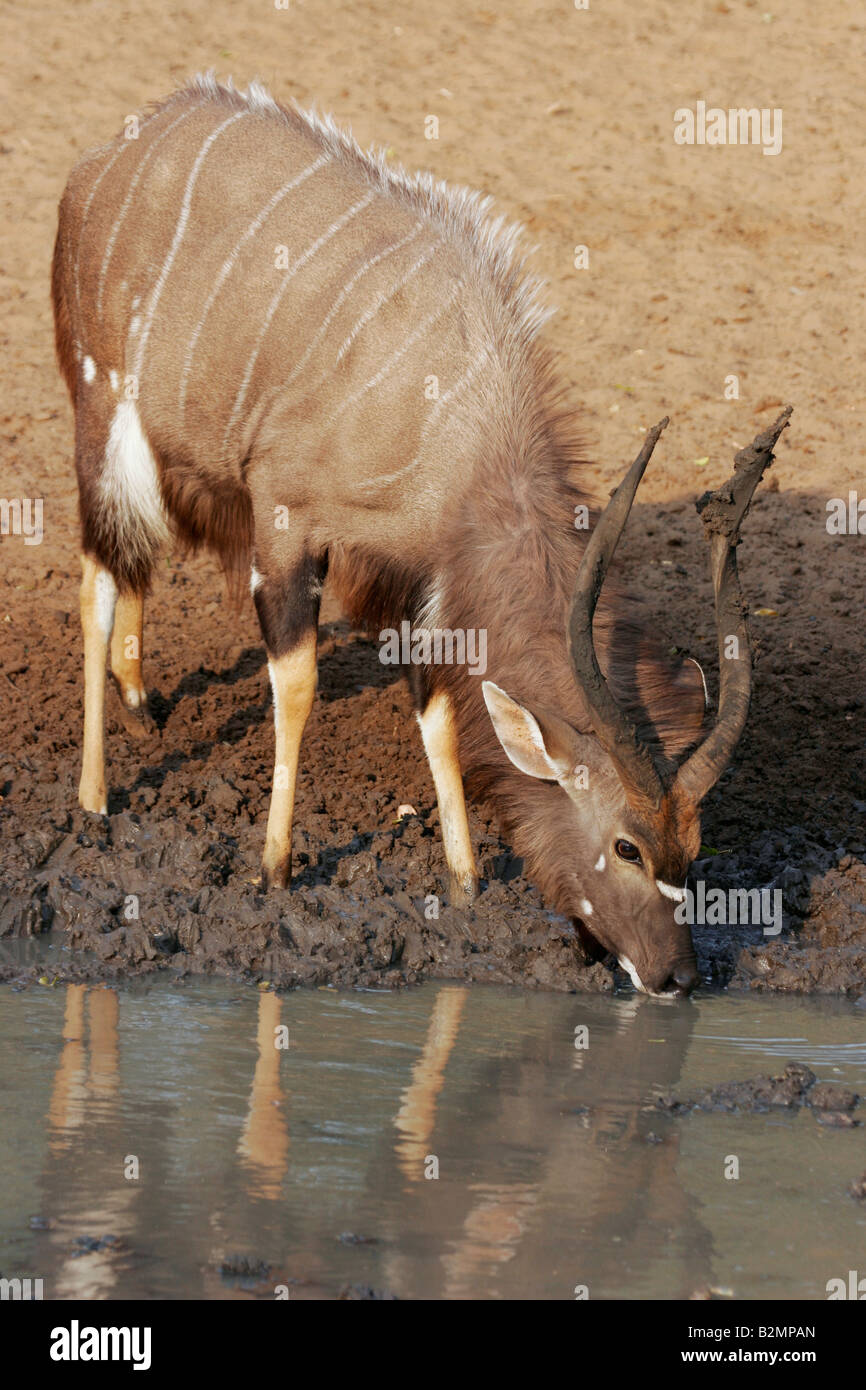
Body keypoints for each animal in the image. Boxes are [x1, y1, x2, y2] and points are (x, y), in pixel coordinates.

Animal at [52, 74, 790, 996]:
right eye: (627, 846)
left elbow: (437, 711)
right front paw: (274, 869)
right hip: (99, 412)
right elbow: (297, 683)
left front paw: (465, 881)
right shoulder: (287, 521)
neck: (456, 414)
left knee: (133, 562)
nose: (676, 977)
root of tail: (116, 147)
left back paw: (140, 699)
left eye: (695, 848)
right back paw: (91, 797)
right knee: (95, 581)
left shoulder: (420, 578)